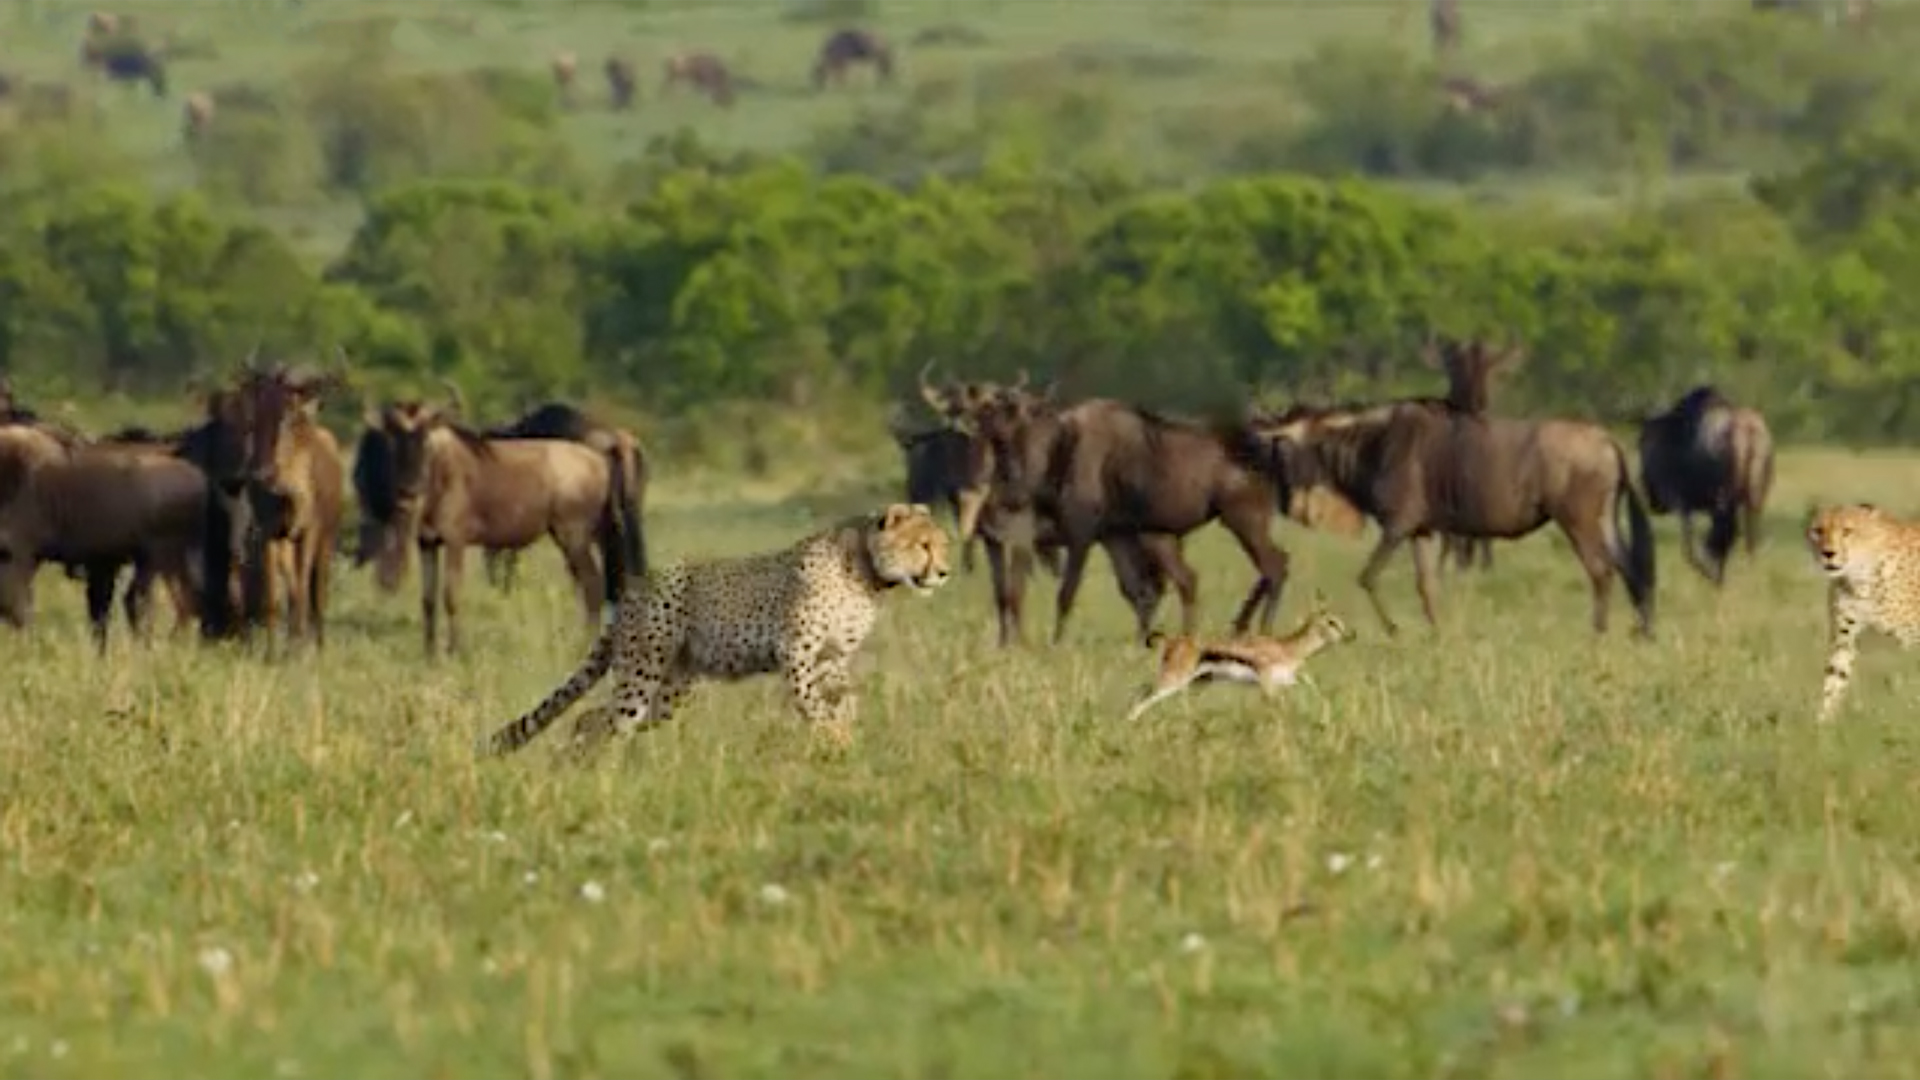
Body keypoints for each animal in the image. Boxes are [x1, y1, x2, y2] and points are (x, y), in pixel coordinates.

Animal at [475, 502, 951, 761]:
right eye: (923, 545)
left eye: (943, 546)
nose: (944, 572)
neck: (868, 573)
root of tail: (634, 588)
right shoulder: (797, 653)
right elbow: (815, 707)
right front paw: (838, 741)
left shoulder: (832, 659)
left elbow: (843, 701)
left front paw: (845, 737)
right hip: (642, 673)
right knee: (608, 721)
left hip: (669, 690)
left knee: (592, 719)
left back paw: (581, 768)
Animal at [1806, 502, 1920, 723]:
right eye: (1818, 530)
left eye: (1847, 531)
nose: (1828, 553)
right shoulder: (1845, 640)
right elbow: (1834, 680)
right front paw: (1822, 724)